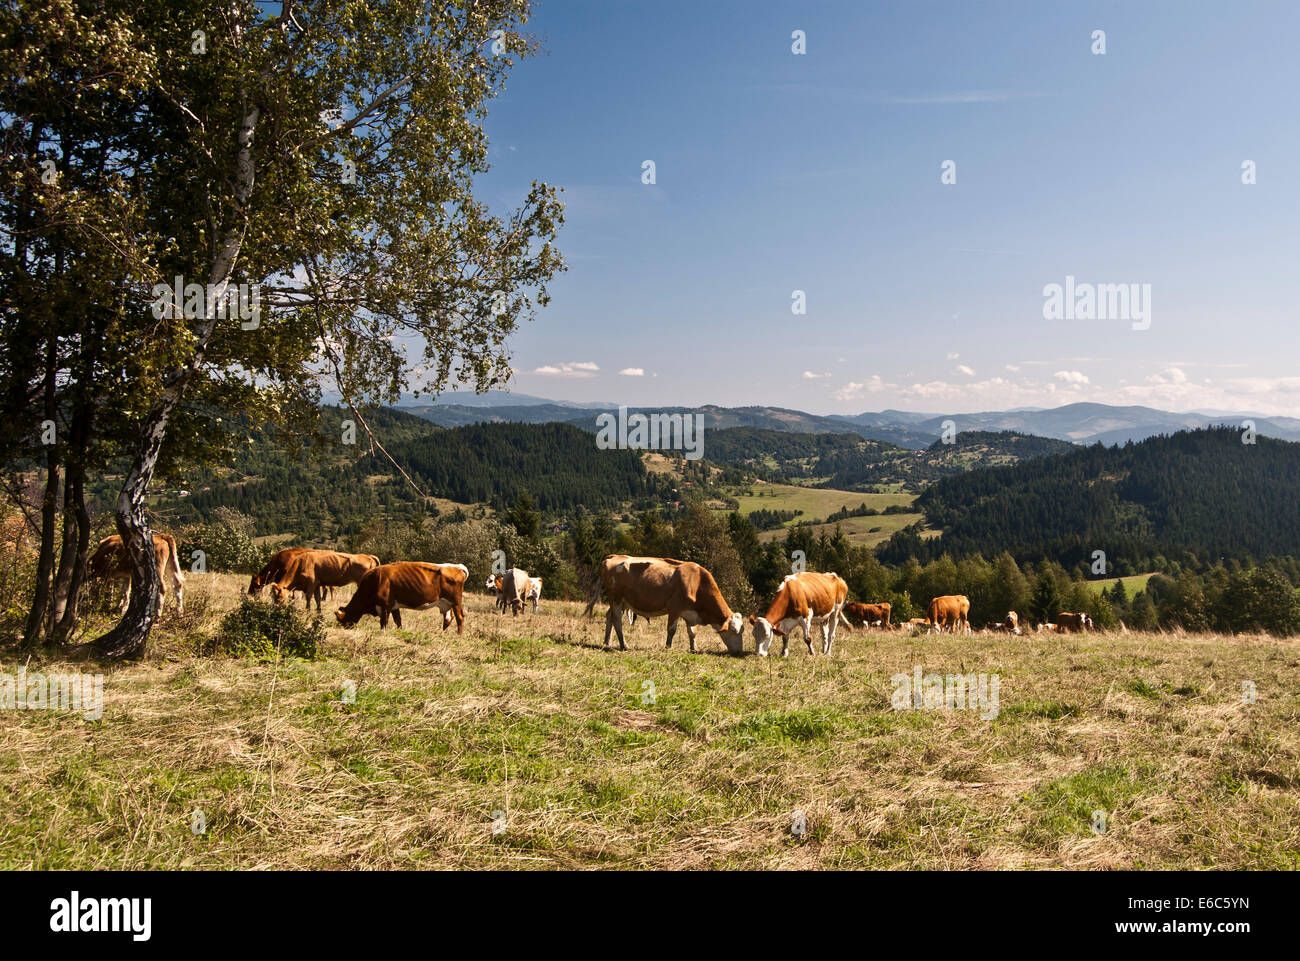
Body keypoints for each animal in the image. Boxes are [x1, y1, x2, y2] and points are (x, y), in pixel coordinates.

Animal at [335, 561, 467, 631]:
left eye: (343, 620)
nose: (345, 628)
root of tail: (457, 567)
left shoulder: (385, 605)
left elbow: (384, 622)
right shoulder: (394, 606)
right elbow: (398, 620)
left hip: (455, 601)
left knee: (460, 618)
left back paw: (458, 636)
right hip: (445, 603)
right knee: (448, 618)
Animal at [598, 554, 745, 654]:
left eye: (742, 630)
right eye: (734, 630)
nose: (739, 652)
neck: (697, 583)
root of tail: (614, 556)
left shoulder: (690, 613)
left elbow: (692, 632)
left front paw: (694, 648)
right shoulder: (674, 608)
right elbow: (672, 630)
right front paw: (668, 646)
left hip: (622, 602)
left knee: (609, 616)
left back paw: (606, 642)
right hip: (616, 599)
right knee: (617, 620)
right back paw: (623, 645)